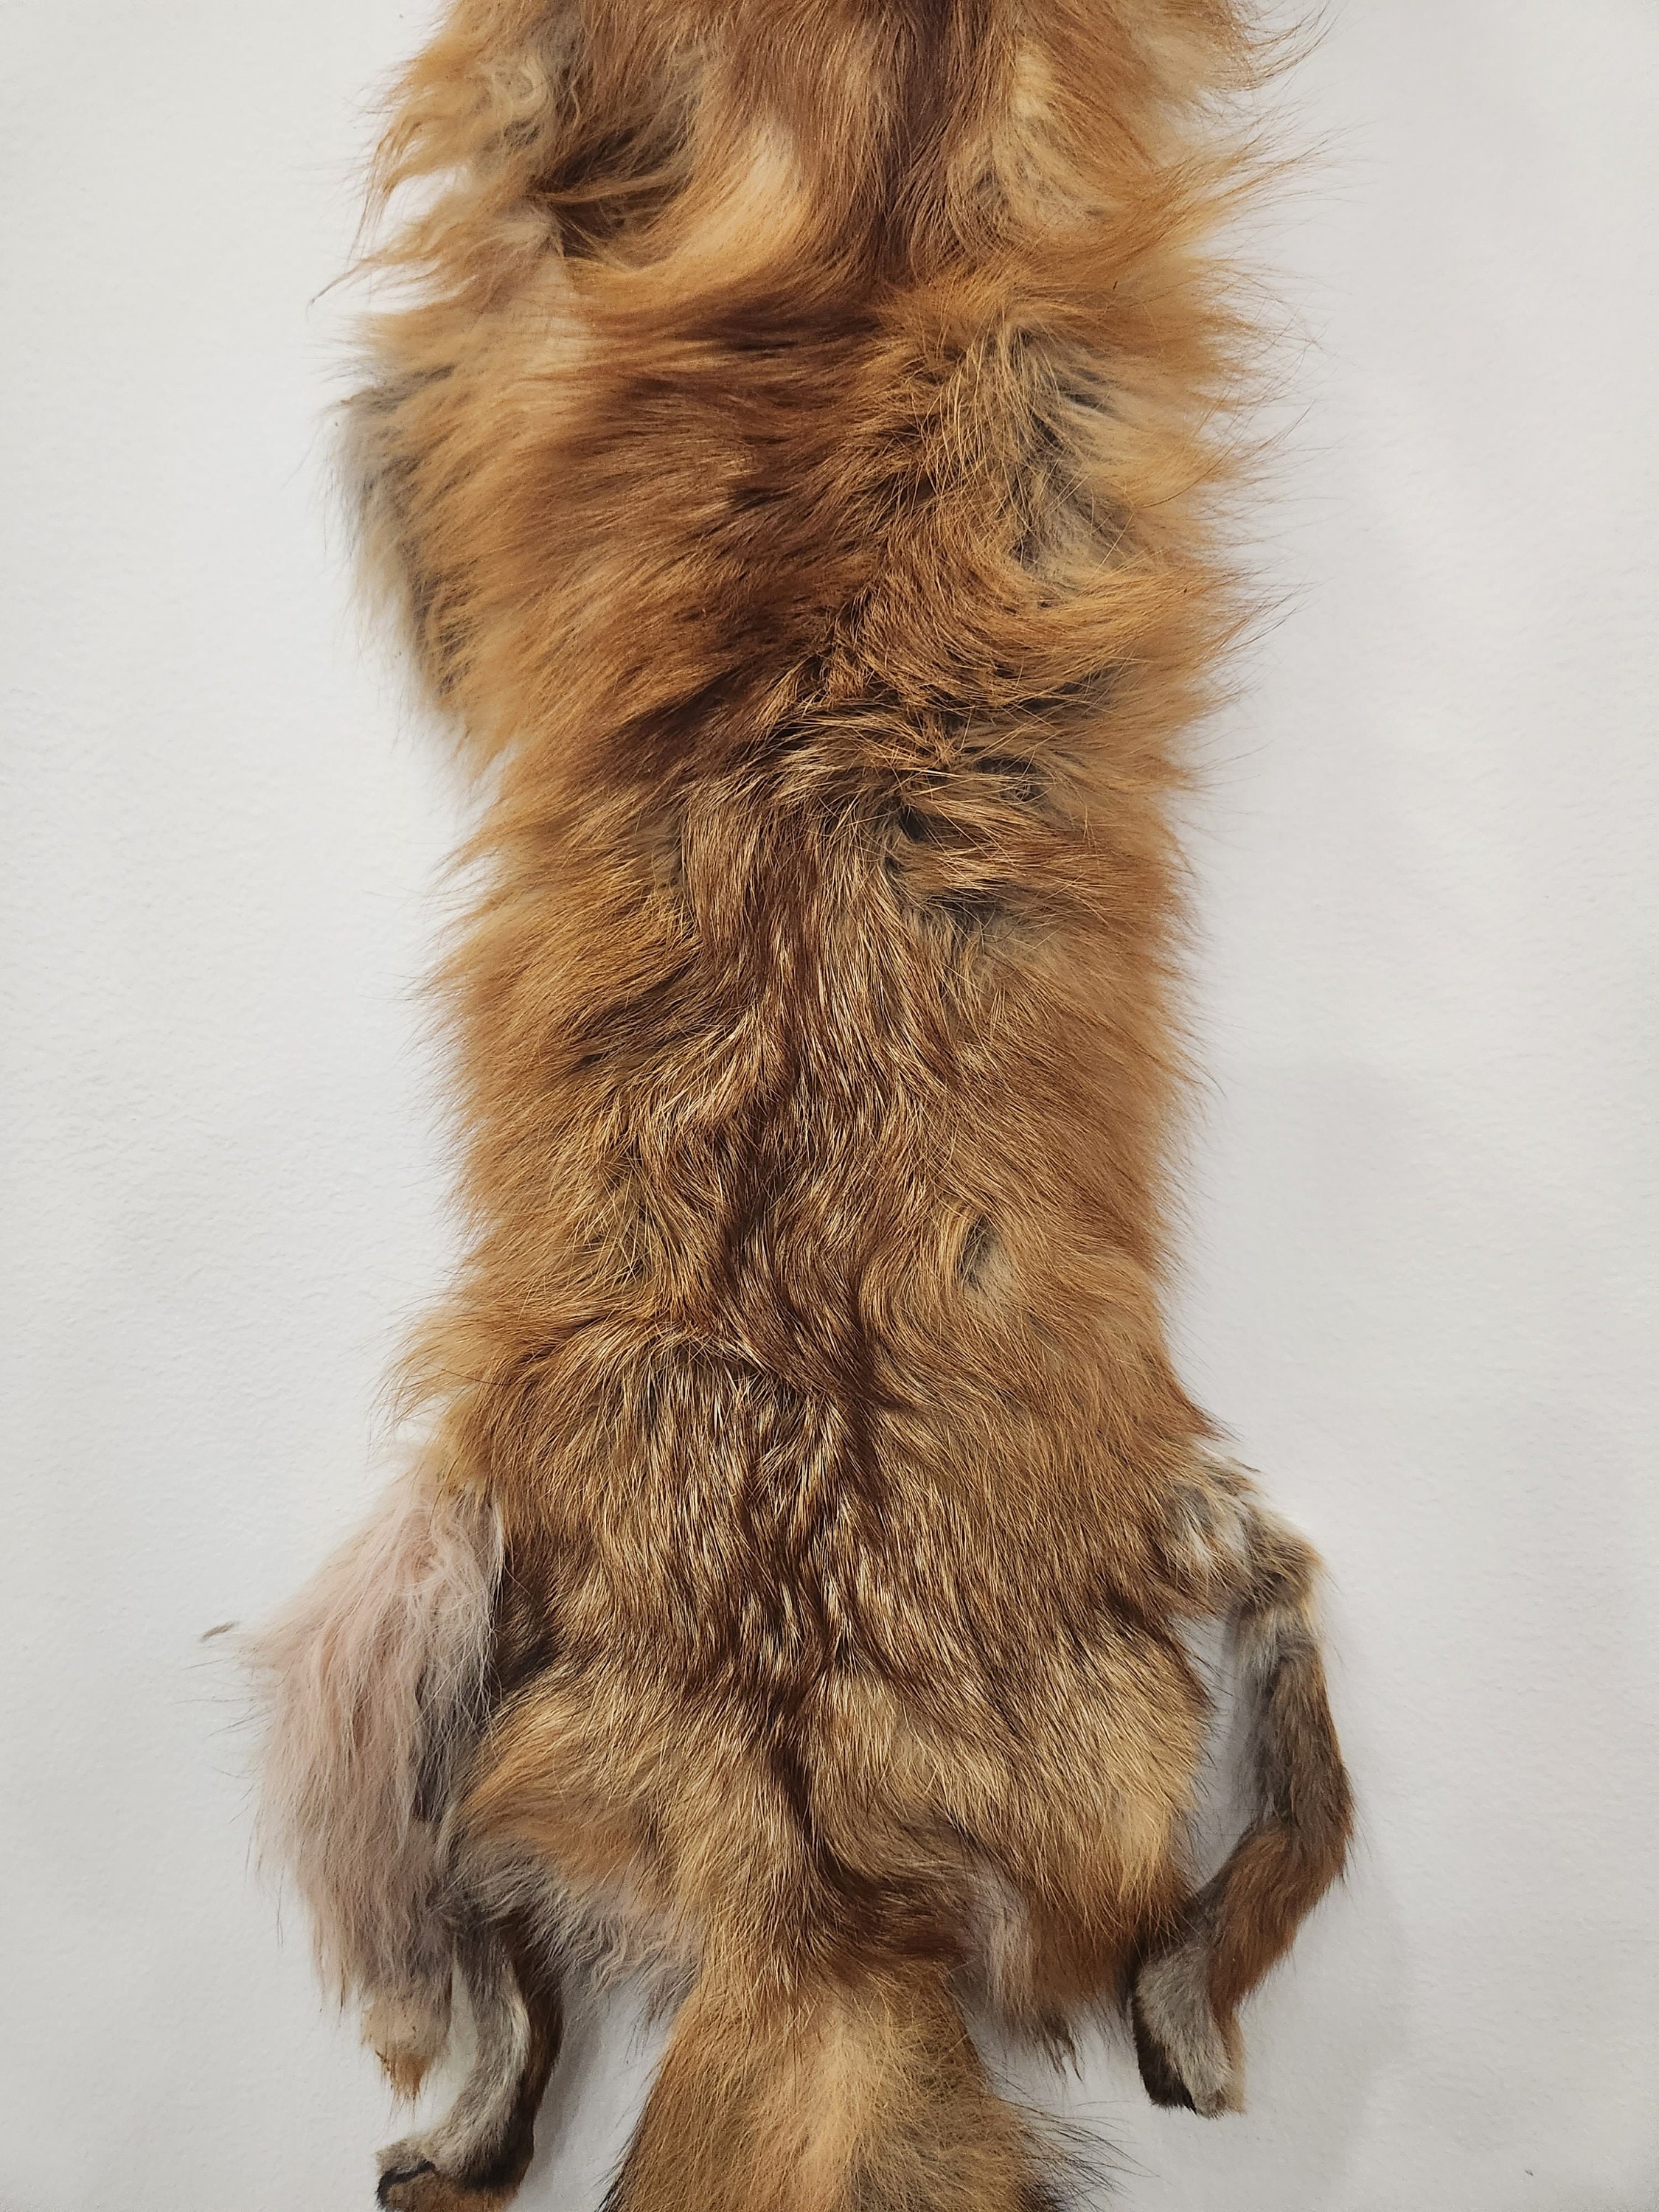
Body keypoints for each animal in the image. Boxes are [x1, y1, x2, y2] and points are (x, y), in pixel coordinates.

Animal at [248, 1, 1352, 2205]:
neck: (872, 246)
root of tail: (812, 1878)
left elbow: (396, 427)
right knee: (1281, 1684)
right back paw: (1184, 2010)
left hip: (438, 1576)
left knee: (459, 1955)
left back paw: (464, 2125)